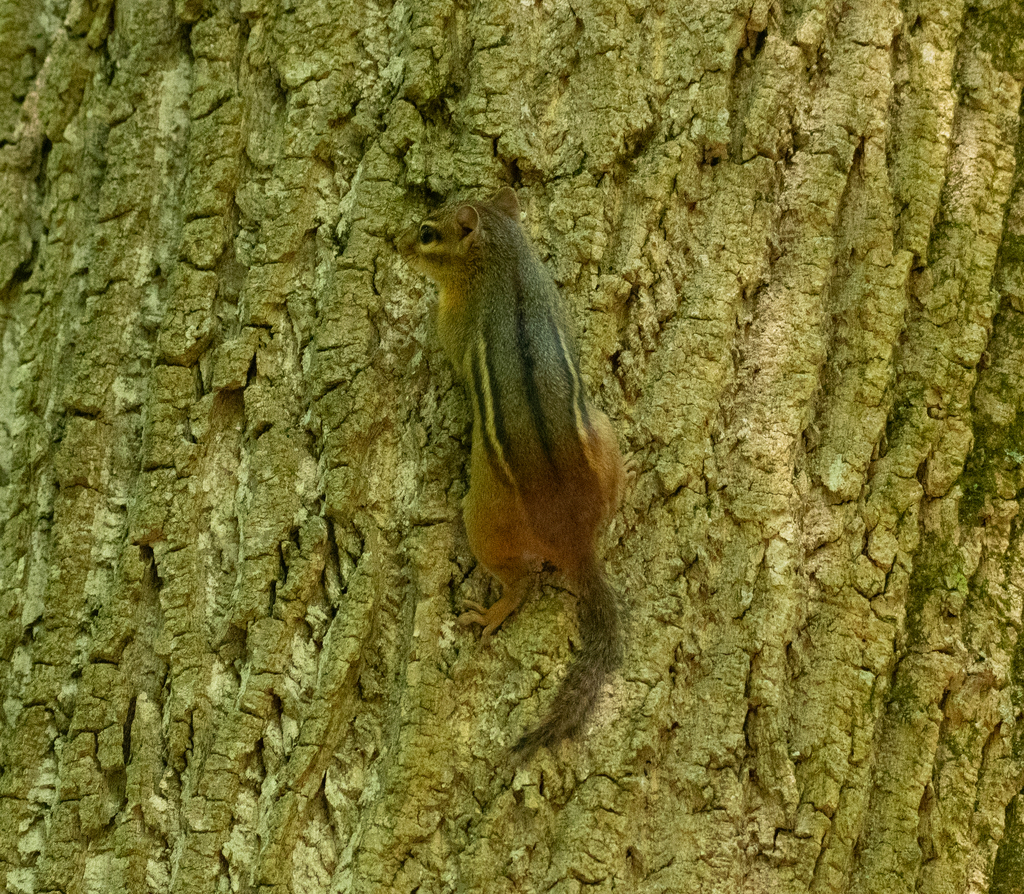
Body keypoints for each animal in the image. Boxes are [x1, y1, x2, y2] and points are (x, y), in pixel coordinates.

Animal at [399, 187, 625, 761]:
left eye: (427, 233)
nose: (396, 243)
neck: (504, 263)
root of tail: (573, 538)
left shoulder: (453, 324)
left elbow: (446, 347)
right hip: (606, 434)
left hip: (482, 520)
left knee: (521, 580)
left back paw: (493, 612)